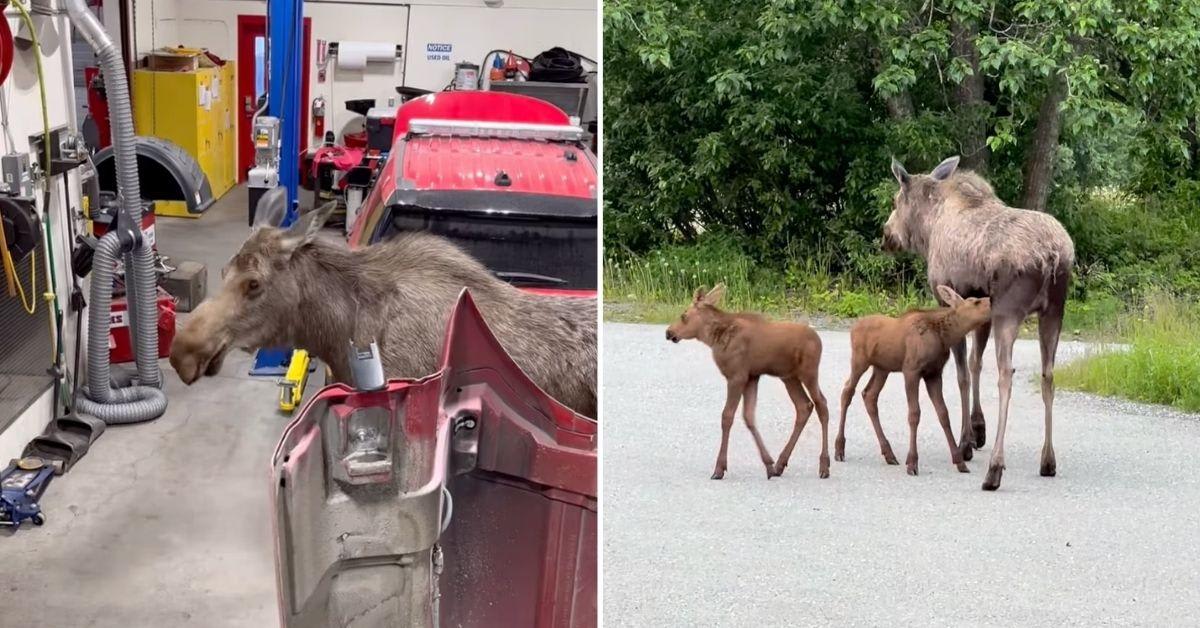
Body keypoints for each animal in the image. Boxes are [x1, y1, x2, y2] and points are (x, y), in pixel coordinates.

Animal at [665, 284, 831, 481]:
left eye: (684, 315)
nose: (669, 332)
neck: (714, 339)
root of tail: (820, 341)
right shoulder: (752, 376)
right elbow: (749, 417)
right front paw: (768, 464)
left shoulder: (737, 376)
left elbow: (727, 416)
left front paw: (719, 468)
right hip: (789, 377)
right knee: (804, 406)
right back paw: (780, 464)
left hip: (808, 372)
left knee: (822, 404)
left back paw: (824, 465)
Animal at [835, 286, 992, 476]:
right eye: (975, 301)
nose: (991, 301)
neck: (944, 337)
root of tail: (852, 329)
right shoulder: (911, 370)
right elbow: (914, 414)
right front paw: (912, 463)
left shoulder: (933, 373)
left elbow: (943, 414)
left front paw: (959, 461)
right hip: (859, 361)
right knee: (847, 391)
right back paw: (839, 448)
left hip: (882, 368)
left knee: (869, 395)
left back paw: (889, 453)